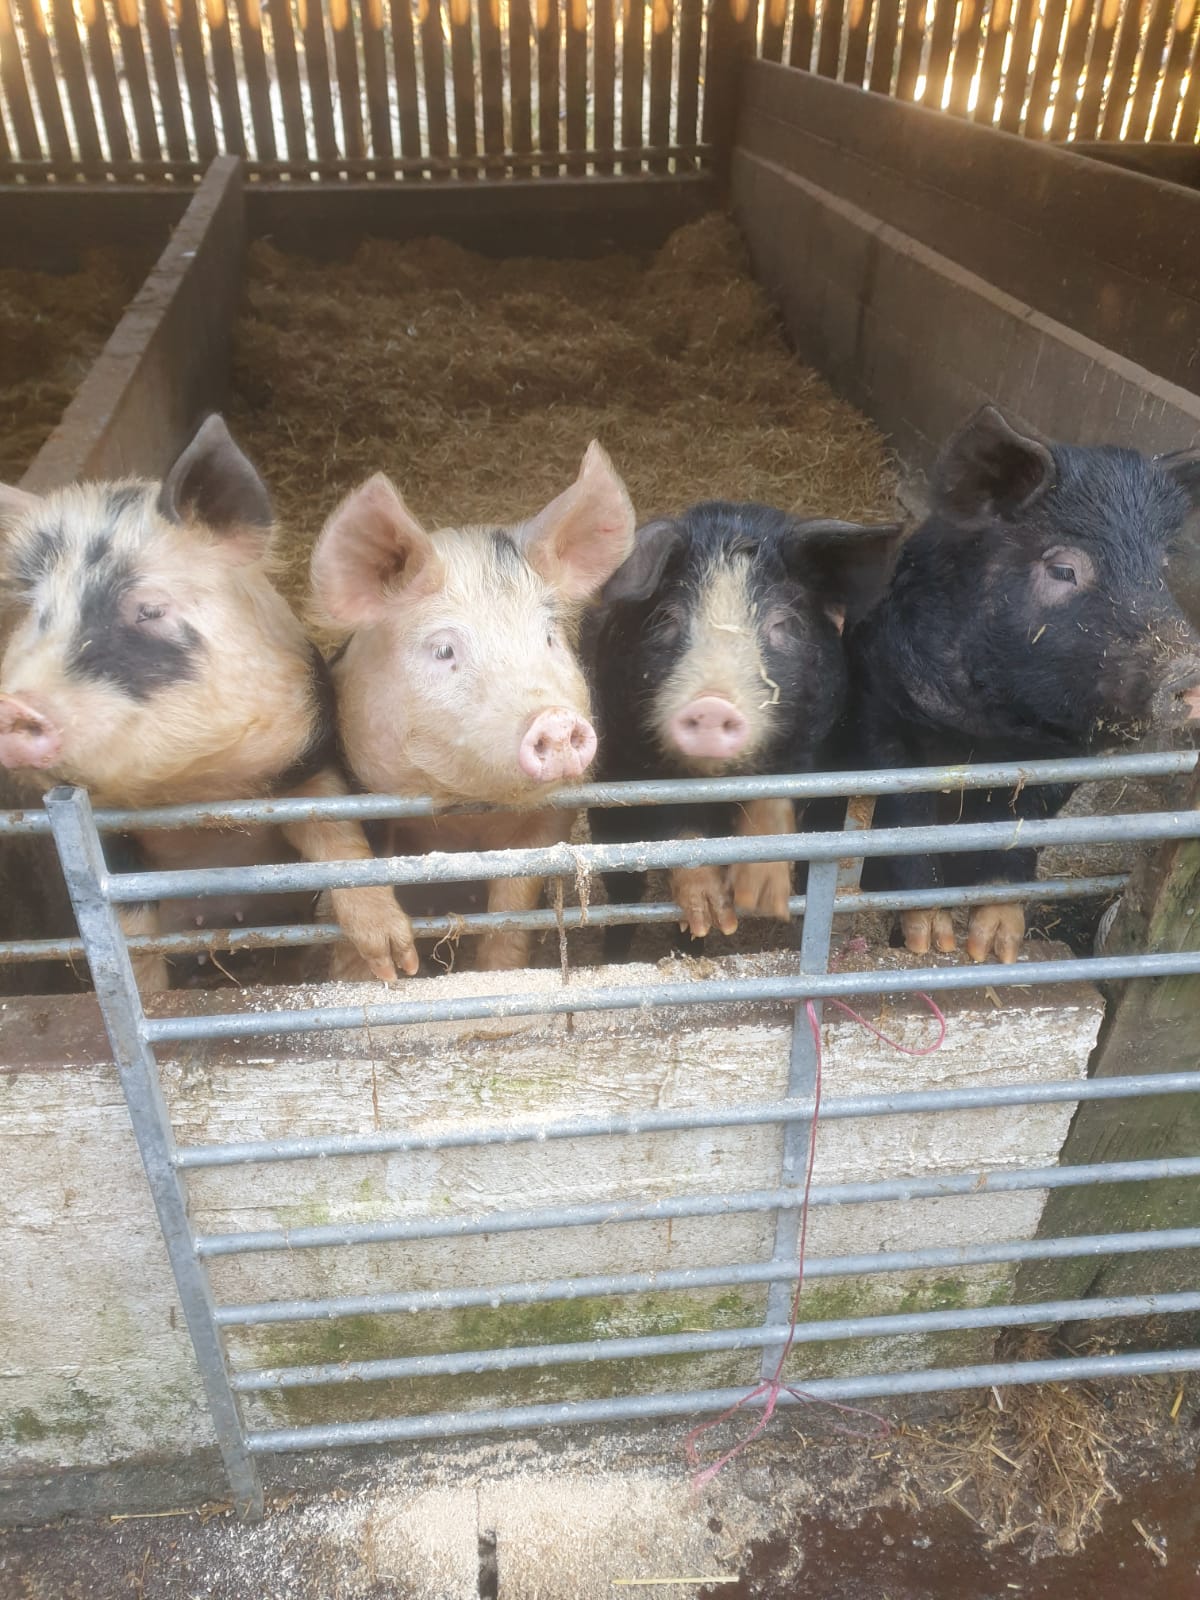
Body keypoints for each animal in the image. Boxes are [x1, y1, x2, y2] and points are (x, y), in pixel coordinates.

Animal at [0, 416, 418, 991]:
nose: (10, 705)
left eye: (149, 610)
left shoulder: (310, 761)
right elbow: (131, 935)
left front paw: (395, 967)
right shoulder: (110, 833)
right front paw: (152, 1000)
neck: (194, 788)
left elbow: (341, 846)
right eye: (33, 615)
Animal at [309, 441, 637, 974]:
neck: (468, 813)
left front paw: (498, 973)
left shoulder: (554, 814)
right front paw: (387, 971)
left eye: (549, 638)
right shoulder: (361, 789)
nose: (554, 719)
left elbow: (512, 905)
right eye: (444, 650)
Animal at [586, 500, 905, 959]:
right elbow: (675, 827)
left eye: (781, 624)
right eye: (667, 619)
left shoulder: (814, 746)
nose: (712, 704)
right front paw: (714, 912)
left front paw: (762, 898)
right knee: (623, 895)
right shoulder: (631, 762)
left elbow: (775, 800)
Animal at [848, 405, 1200, 964]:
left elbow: (1019, 830)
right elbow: (906, 818)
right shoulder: (880, 702)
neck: (988, 729)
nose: (1189, 672)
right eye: (1064, 569)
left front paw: (992, 950)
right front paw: (932, 943)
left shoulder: (1062, 757)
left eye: (1160, 570)